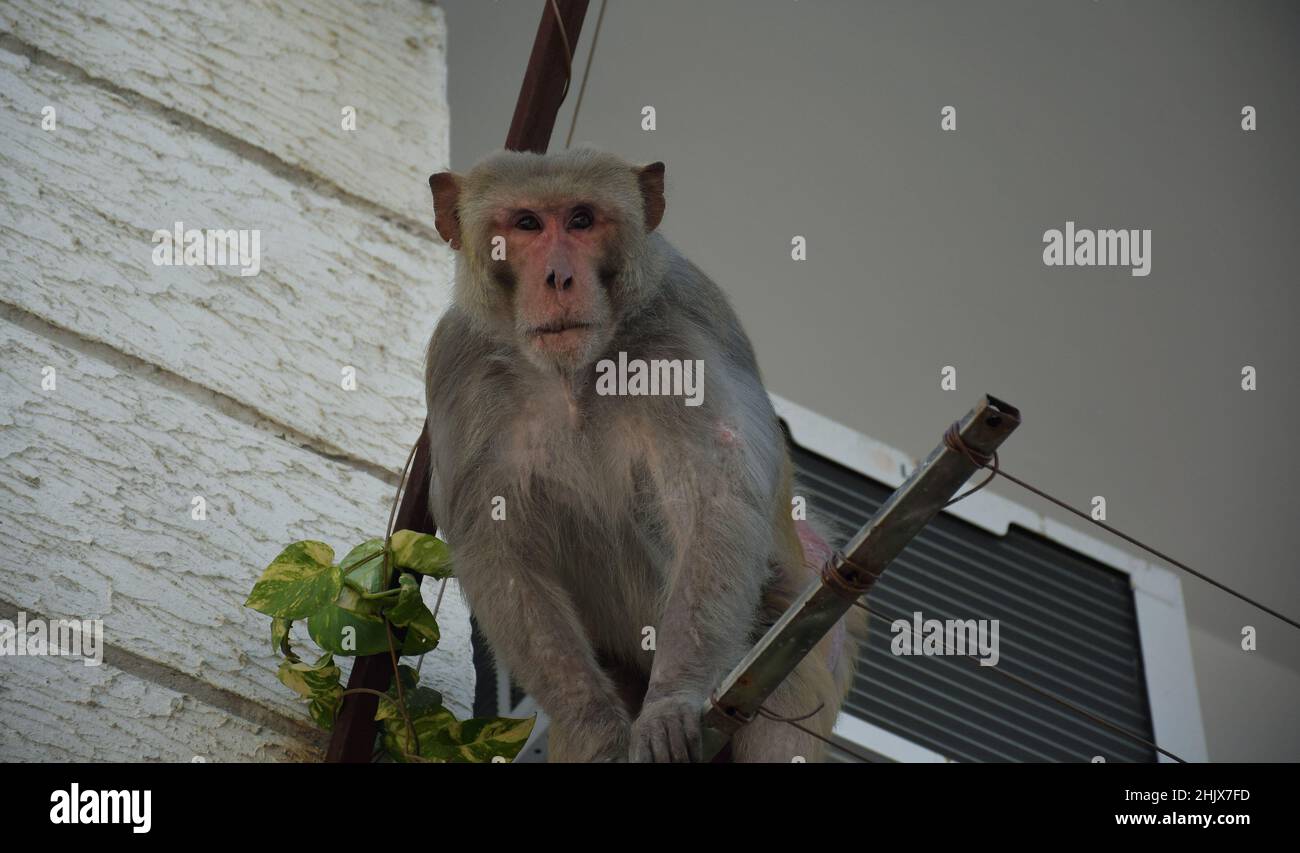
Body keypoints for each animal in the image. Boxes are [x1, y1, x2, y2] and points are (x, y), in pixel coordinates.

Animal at [424, 148, 856, 762]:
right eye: (527, 223)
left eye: (581, 219)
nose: (559, 277)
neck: (574, 370)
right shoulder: (459, 365)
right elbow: (498, 550)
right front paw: (593, 726)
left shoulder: (682, 328)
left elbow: (711, 501)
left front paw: (672, 702)